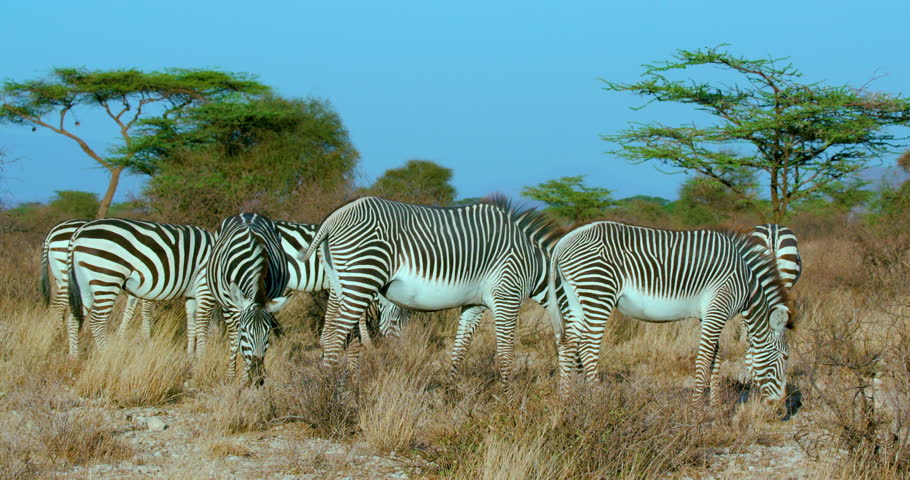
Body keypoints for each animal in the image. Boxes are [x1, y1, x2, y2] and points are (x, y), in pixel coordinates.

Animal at [66, 218, 215, 358]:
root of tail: (79, 231)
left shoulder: (191, 294)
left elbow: (192, 324)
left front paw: (190, 356)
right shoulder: (205, 289)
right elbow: (202, 325)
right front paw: (201, 358)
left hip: (83, 284)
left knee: (74, 318)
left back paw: (74, 357)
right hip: (107, 277)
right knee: (97, 322)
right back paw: (105, 355)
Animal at [206, 213, 289, 384]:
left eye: (267, 331)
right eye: (245, 330)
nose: (258, 377)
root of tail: (247, 214)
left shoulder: (269, 297)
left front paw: (252, 376)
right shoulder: (233, 305)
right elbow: (238, 344)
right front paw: (243, 378)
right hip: (226, 305)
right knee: (232, 336)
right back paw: (231, 374)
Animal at [299, 195, 562, 391]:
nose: (569, 401)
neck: (533, 265)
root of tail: (333, 218)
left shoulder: (474, 305)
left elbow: (460, 349)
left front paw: (449, 393)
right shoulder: (507, 297)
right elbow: (506, 355)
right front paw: (508, 400)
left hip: (340, 284)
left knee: (331, 335)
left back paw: (339, 386)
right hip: (363, 277)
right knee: (335, 337)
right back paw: (328, 394)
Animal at [546, 221, 793, 405]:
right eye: (784, 357)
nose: (781, 406)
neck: (747, 284)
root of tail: (563, 242)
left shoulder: (710, 314)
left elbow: (715, 358)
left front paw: (714, 407)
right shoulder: (718, 309)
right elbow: (704, 358)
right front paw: (697, 411)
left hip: (575, 297)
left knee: (568, 343)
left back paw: (565, 400)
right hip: (598, 292)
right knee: (588, 348)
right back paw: (598, 402)